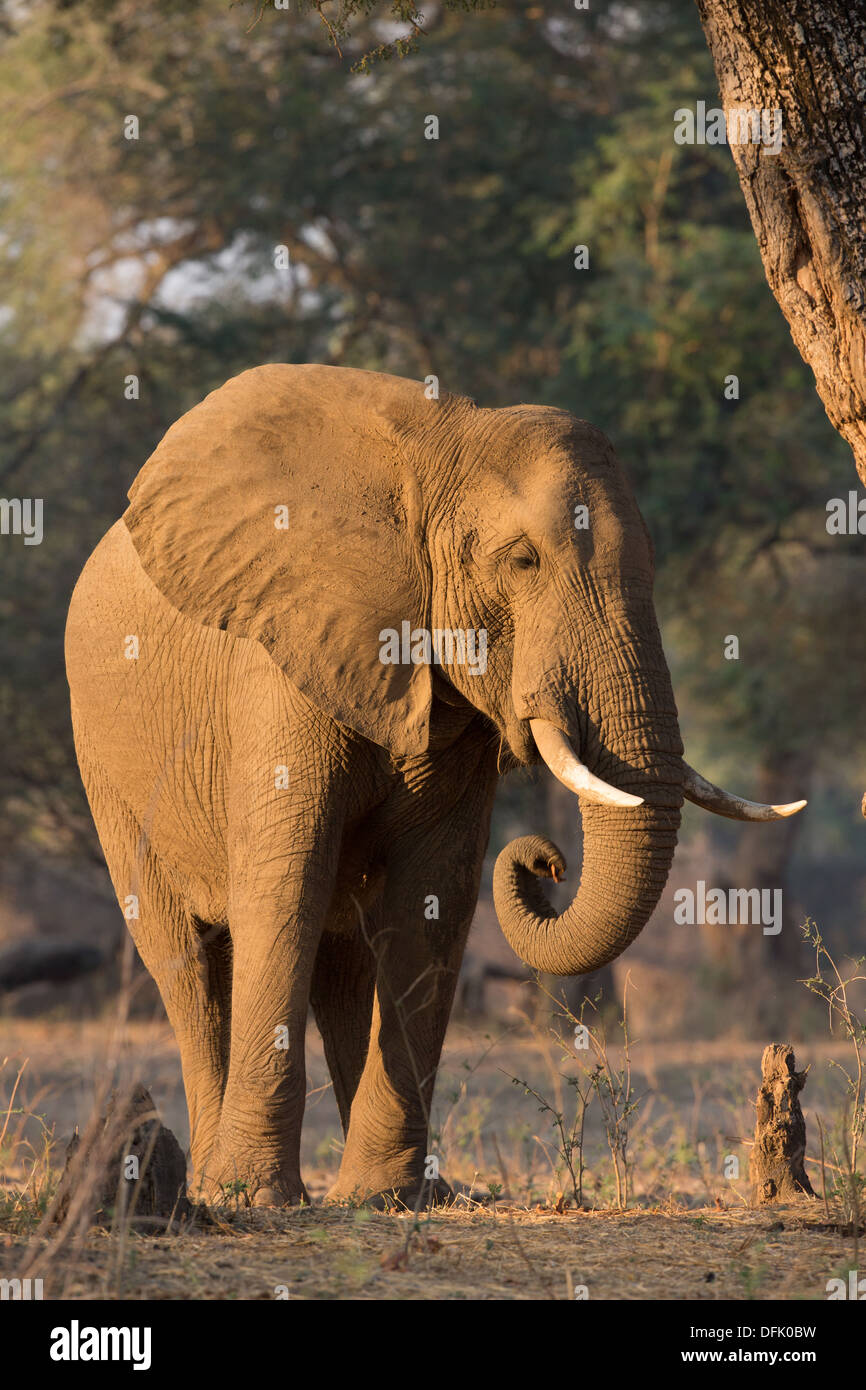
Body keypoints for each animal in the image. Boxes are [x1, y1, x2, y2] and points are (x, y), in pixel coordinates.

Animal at [65, 363, 806, 1207]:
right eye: (523, 562)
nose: (546, 862)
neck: (442, 443)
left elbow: (433, 895)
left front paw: (387, 1198)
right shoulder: (278, 665)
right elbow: (283, 887)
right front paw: (256, 1197)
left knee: (342, 963)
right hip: (105, 766)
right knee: (186, 963)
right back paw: (213, 1184)